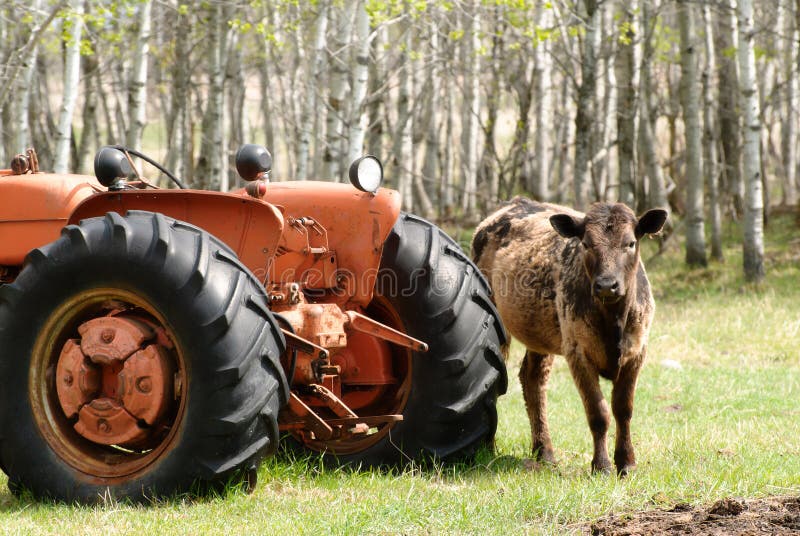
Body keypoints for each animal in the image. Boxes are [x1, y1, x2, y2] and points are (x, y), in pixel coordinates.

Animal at [471, 197, 667, 475]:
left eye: (630, 243)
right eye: (586, 244)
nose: (607, 285)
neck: (614, 320)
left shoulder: (637, 352)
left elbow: (623, 409)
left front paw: (627, 462)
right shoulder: (578, 352)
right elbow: (599, 413)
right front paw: (602, 465)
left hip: (539, 334)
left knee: (532, 378)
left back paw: (544, 451)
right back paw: (489, 447)